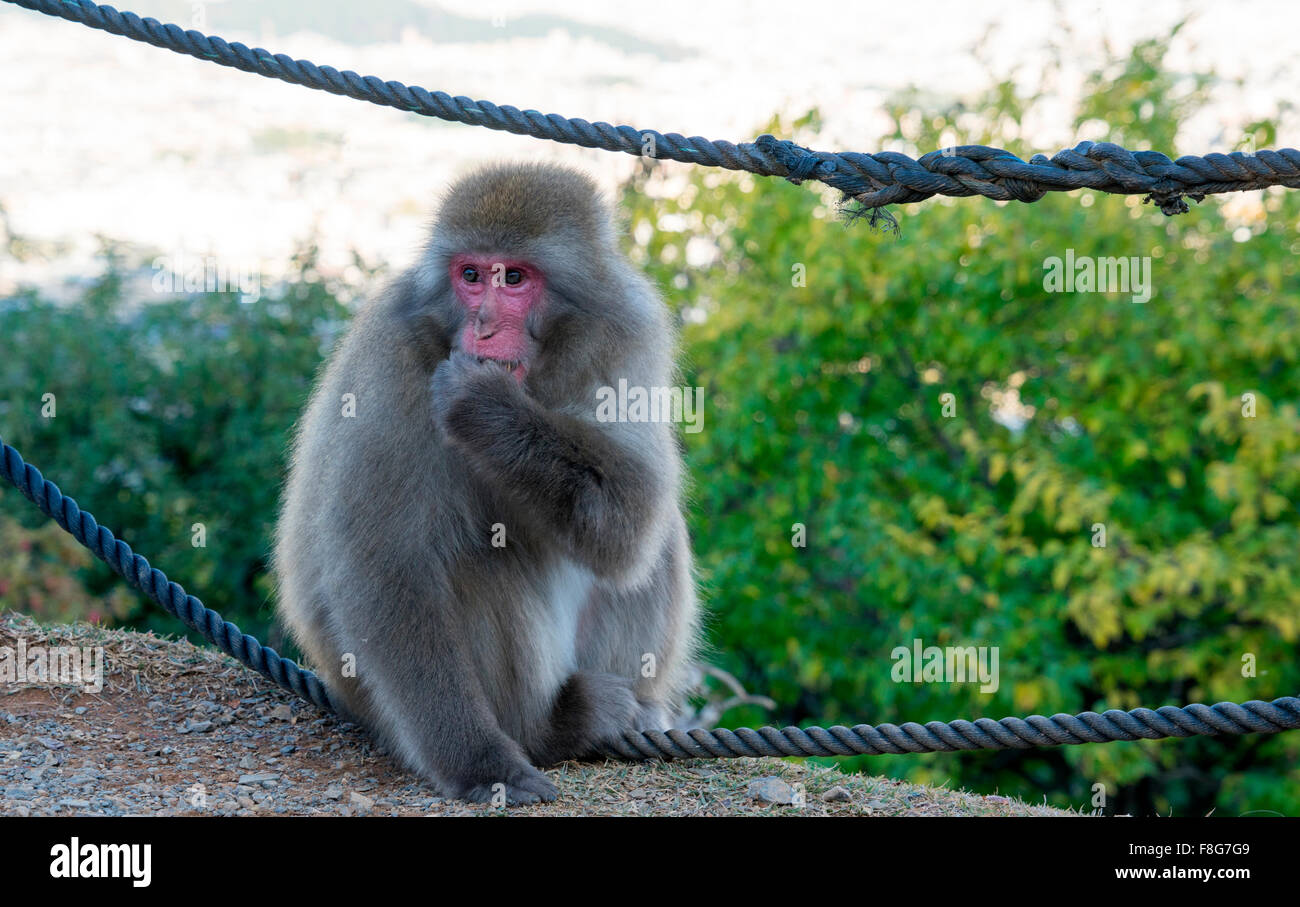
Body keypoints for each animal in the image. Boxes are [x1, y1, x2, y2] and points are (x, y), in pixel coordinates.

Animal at [273, 162, 700, 805]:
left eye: (514, 278)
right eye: (471, 276)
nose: (483, 323)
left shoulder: (631, 331)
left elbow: (637, 514)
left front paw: (490, 412)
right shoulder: (393, 364)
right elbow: (382, 566)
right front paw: (482, 765)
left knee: (657, 535)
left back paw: (636, 711)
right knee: (472, 559)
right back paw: (552, 729)